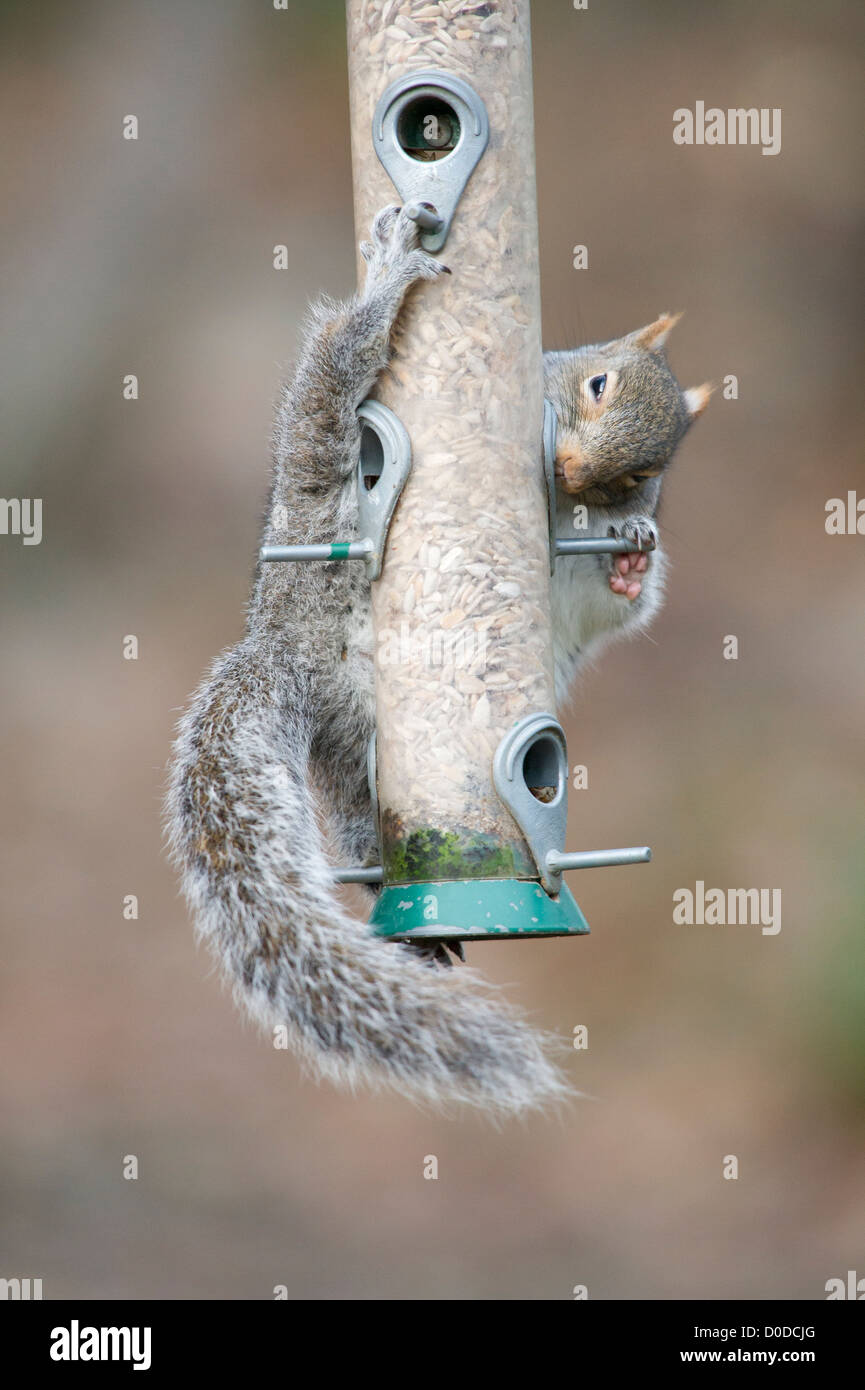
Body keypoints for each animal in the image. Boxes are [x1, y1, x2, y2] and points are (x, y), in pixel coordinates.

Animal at [166, 205, 710, 1117]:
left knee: (358, 815)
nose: (574, 471)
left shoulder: (580, 577)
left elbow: (610, 601)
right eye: (597, 383)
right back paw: (385, 284)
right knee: (331, 371)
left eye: (643, 472)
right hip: (324, 507)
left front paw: (635, 552)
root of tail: (281, 641)